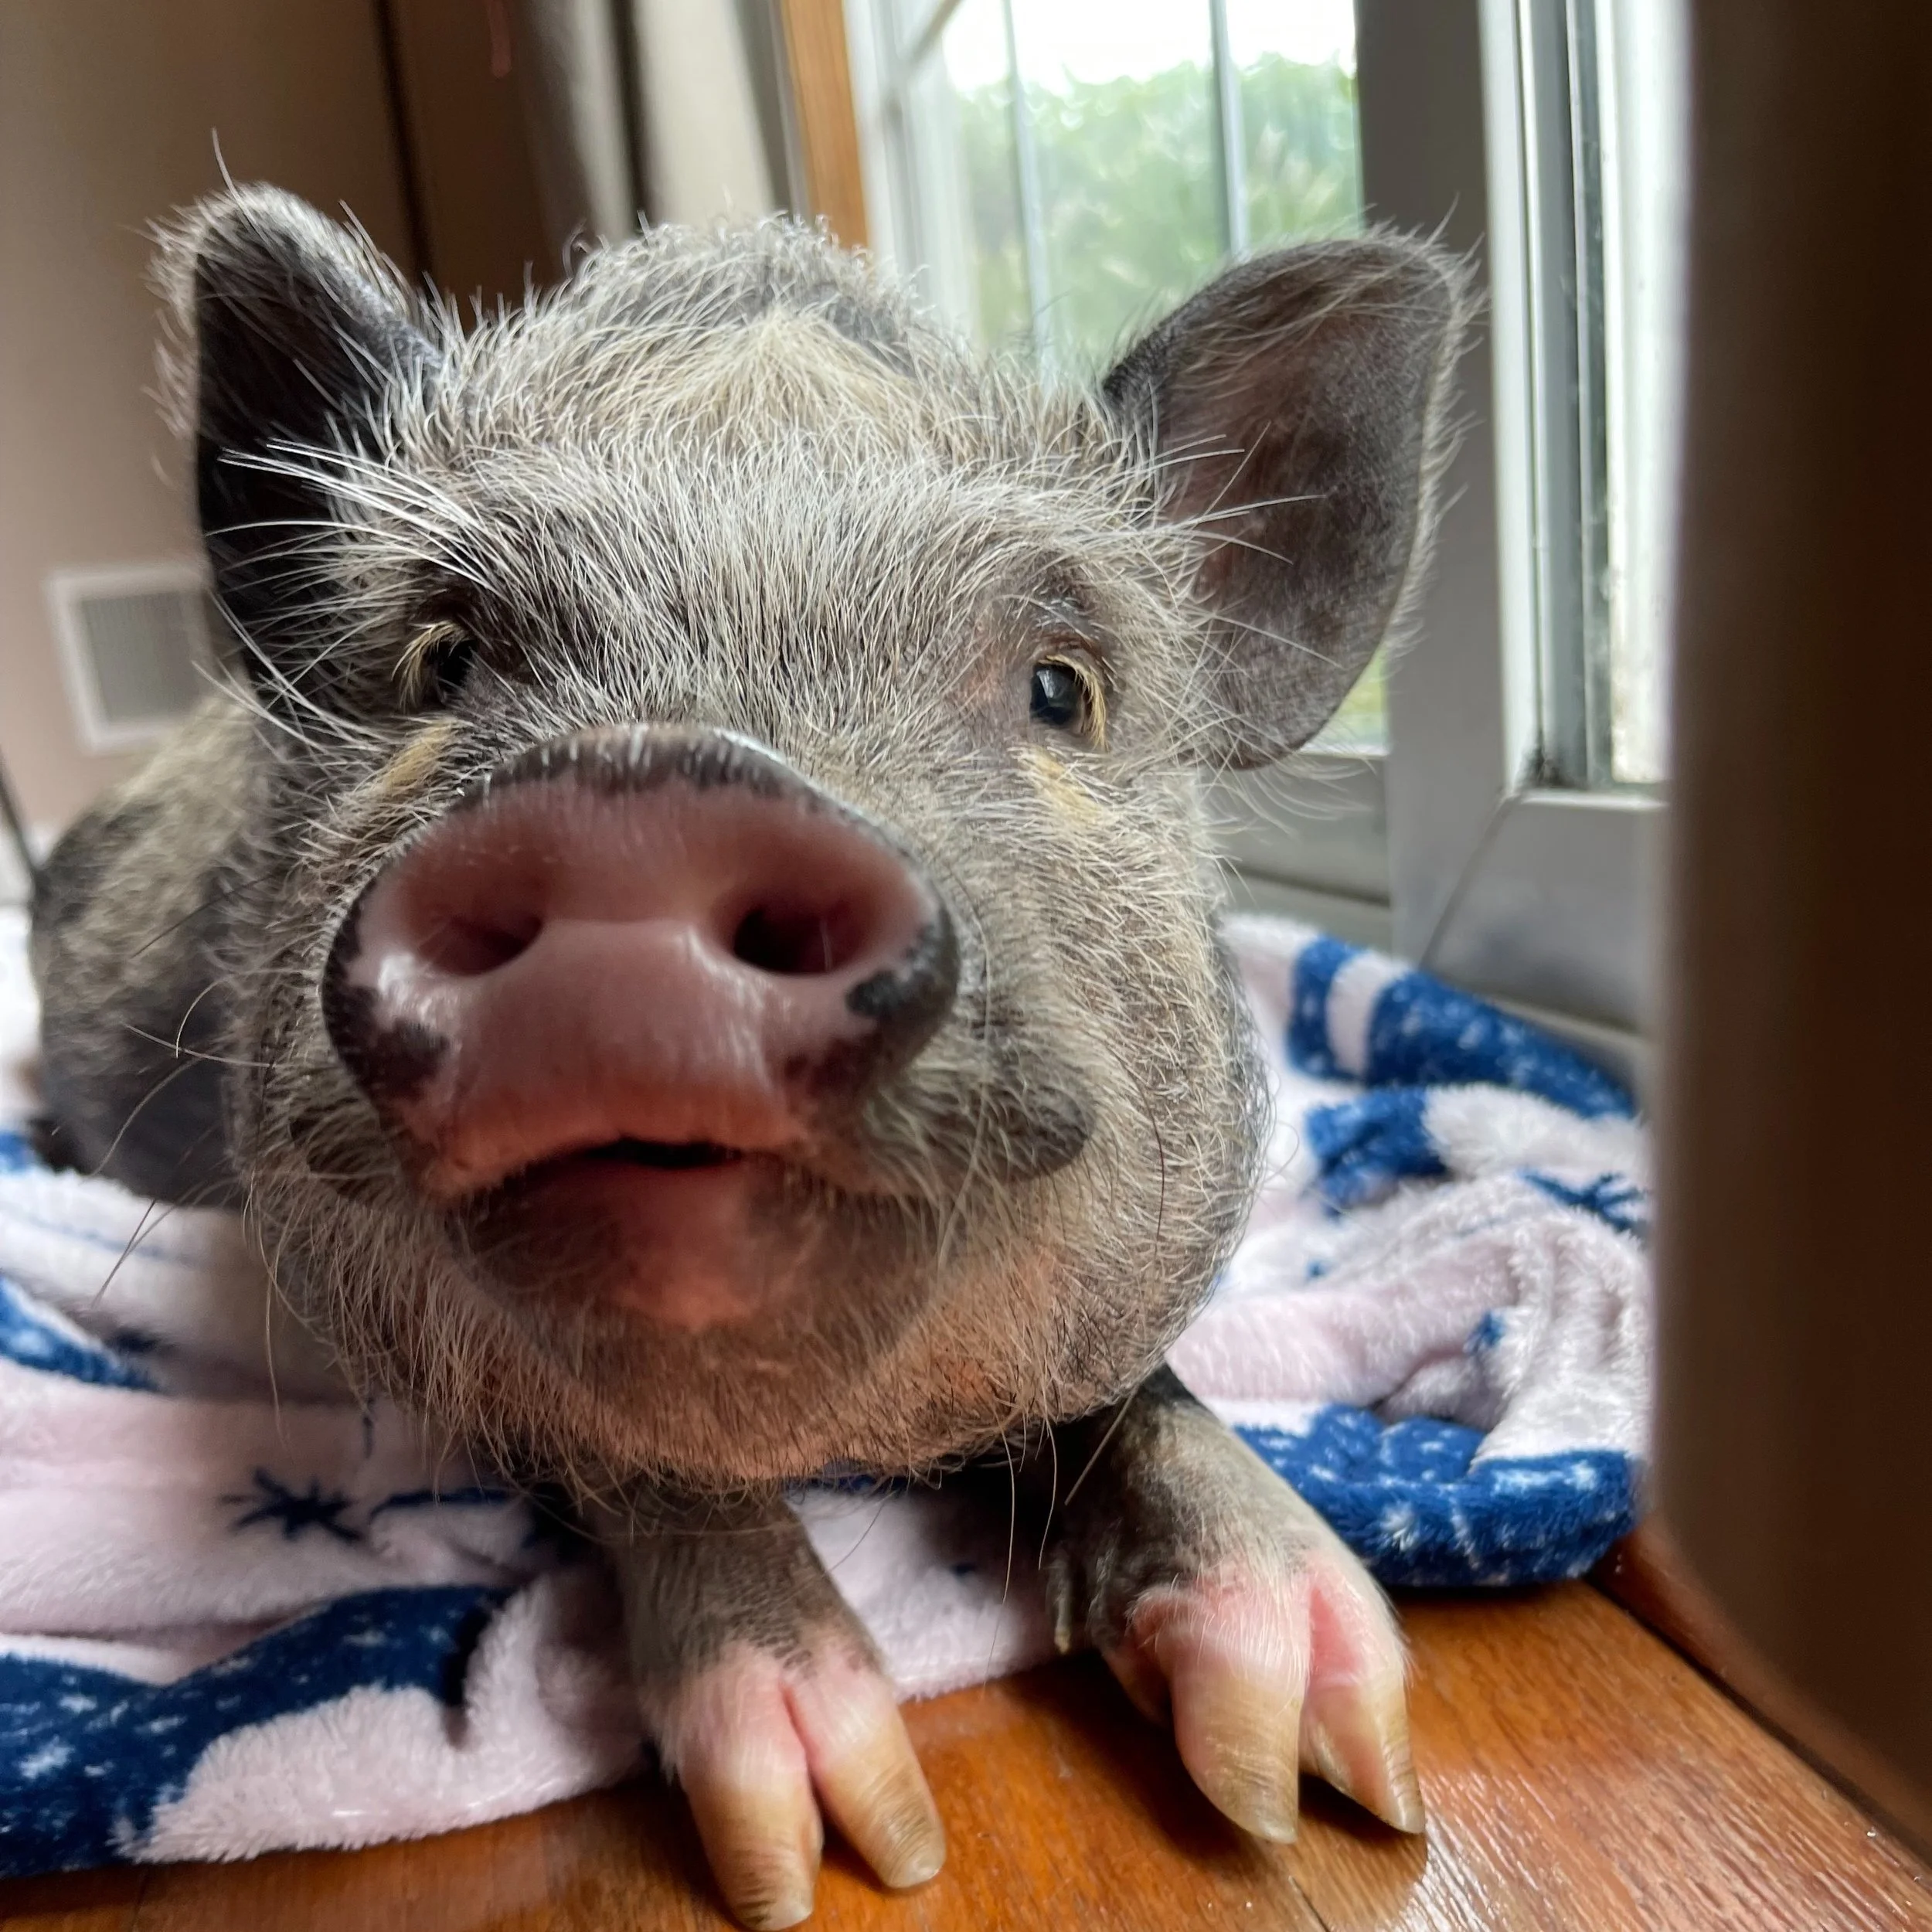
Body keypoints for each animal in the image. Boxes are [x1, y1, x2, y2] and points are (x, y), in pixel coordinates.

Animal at [29, 188, 1464, 1927]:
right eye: (443, 662)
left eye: (1061, 687)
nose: (651, 792)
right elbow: (641, 1463)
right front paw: (864, 1844)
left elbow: (1127, 1383)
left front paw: (1329, 1779)